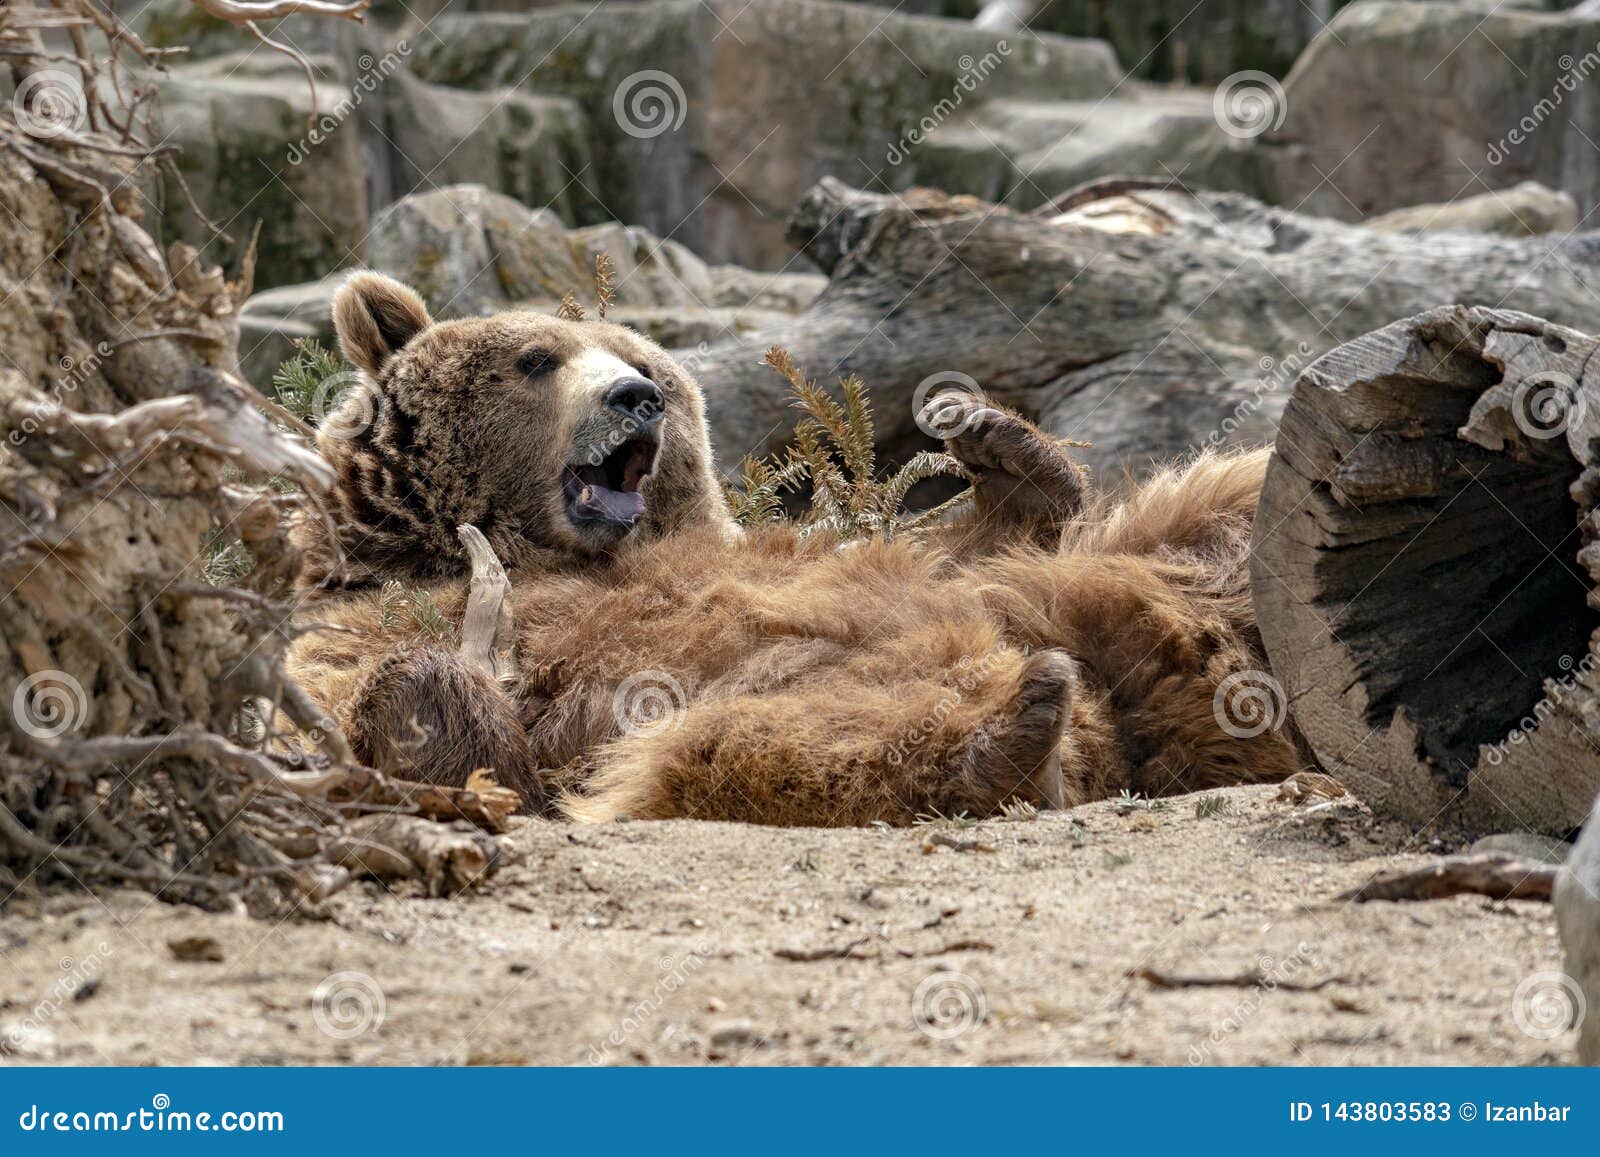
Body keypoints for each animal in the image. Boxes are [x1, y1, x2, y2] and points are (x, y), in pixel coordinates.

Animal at [285, 272, 1301, 825]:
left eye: (646, 366)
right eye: (535, 358)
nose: (634, 399)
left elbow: (938, 550)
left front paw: (1004, 449)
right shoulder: (352, 618)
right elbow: (383, 708)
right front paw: (442, 687)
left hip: (1107, 590)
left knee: (1208, 511)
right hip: (761, 713)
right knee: (768, 748)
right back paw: (1016, 733)